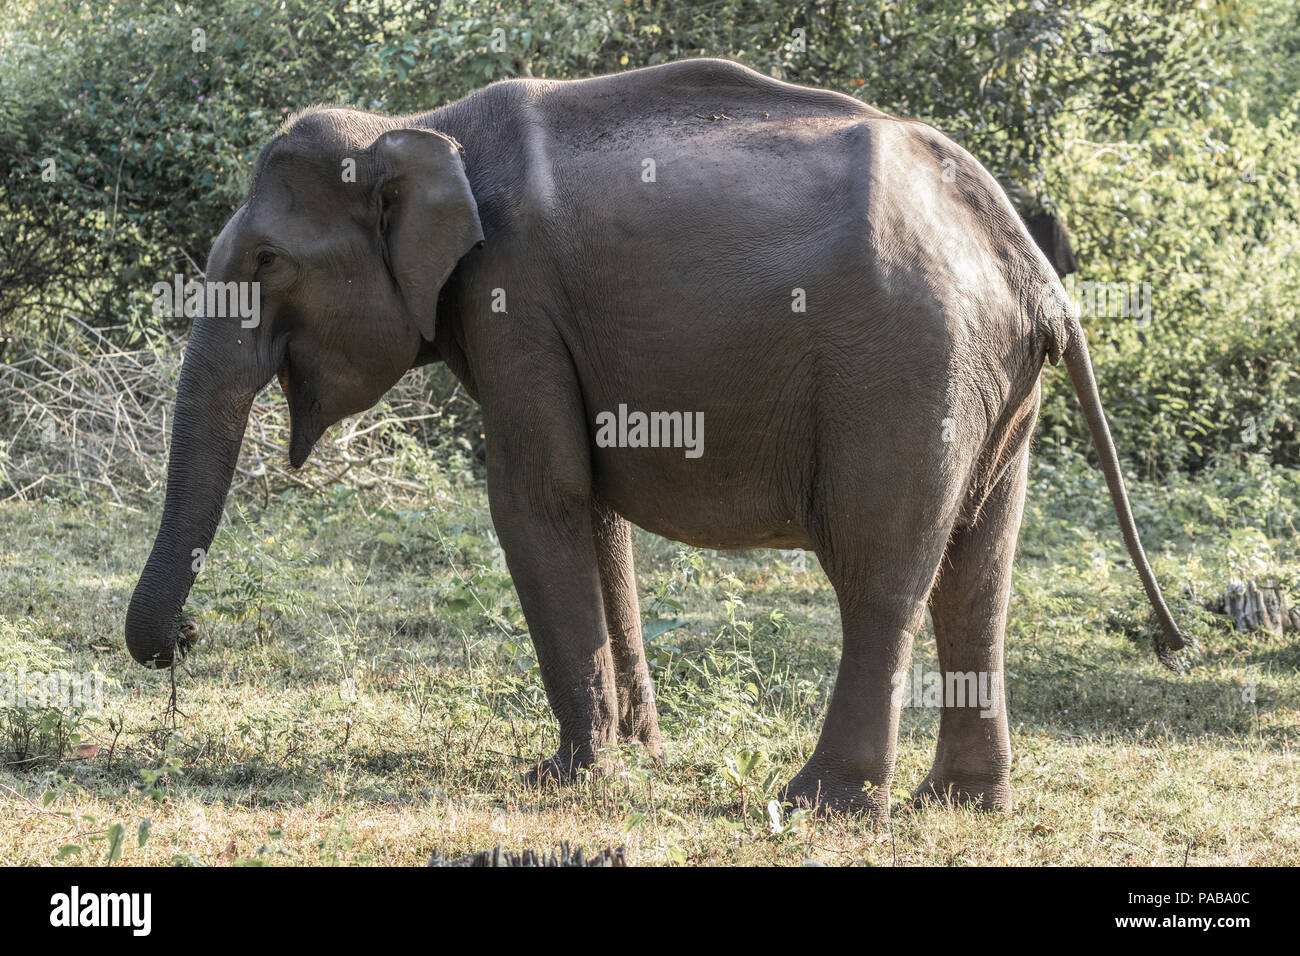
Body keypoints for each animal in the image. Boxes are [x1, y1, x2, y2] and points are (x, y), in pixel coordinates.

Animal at [126, 58, 1183, 817]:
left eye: (267, 261)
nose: (186, 637)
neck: (422, 124)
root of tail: (1032, 269)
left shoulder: (512, 296)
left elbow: (535, 494)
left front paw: (568, 780)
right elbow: (593, 506)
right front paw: (637, 754)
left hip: (907, 369)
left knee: (882, 573)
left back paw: (821, 806)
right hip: (994, 388)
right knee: (978, 575)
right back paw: (960, 806)